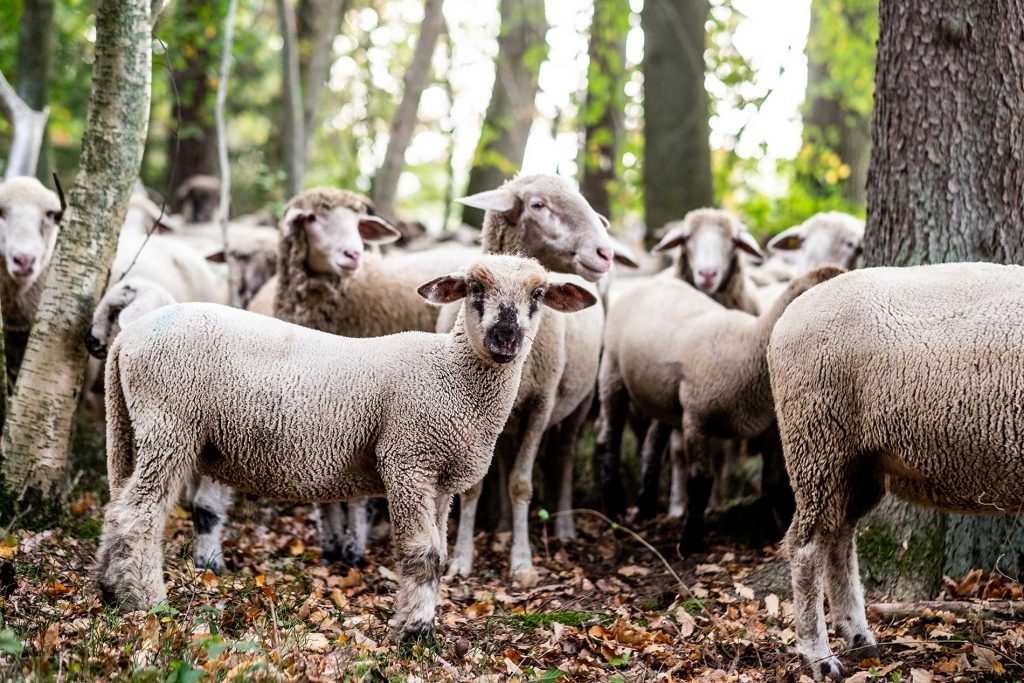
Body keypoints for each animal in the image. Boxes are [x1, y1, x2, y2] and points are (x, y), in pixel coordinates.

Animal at [94, 253, 597, 640]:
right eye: (474, 287)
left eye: (538, 295)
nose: (506, 338)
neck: (451, 373)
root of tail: (128, 337)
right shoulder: (408, 459)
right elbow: (423, 554)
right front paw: (412, 633)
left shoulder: (440, 481)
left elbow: (438, 553)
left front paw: (423, 623)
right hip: (169, 423)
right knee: (139, 514)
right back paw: (147, 603)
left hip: (133, 428)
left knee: (117, 507)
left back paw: (110, 589)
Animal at [442, 174, 615, 583]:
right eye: (538, 205)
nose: (606, 253)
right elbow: (474, 486)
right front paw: (462, 558)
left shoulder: (542, 403)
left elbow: (522, 484)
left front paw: (522, 560)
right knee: (505, 457)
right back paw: (504, 524)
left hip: (579, 403)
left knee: (563, 457)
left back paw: (563, 527)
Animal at [597, 265, 843, 550]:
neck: (749, 347)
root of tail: (648, 282)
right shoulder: (696, 418)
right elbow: (700, 480)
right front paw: (691, 541)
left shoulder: (770, 427)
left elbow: (774, 481)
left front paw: (781, 534)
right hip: (613, 370)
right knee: (609, 439)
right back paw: (614, 508)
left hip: (665, 396)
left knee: (651, 443)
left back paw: (645, 504)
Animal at [768, 262, 1024, 681]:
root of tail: (787, 318)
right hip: (818, 441)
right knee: (807, 549)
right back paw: (819, 657)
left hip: (859, 464)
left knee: (839, 541)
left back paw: (859, 638)